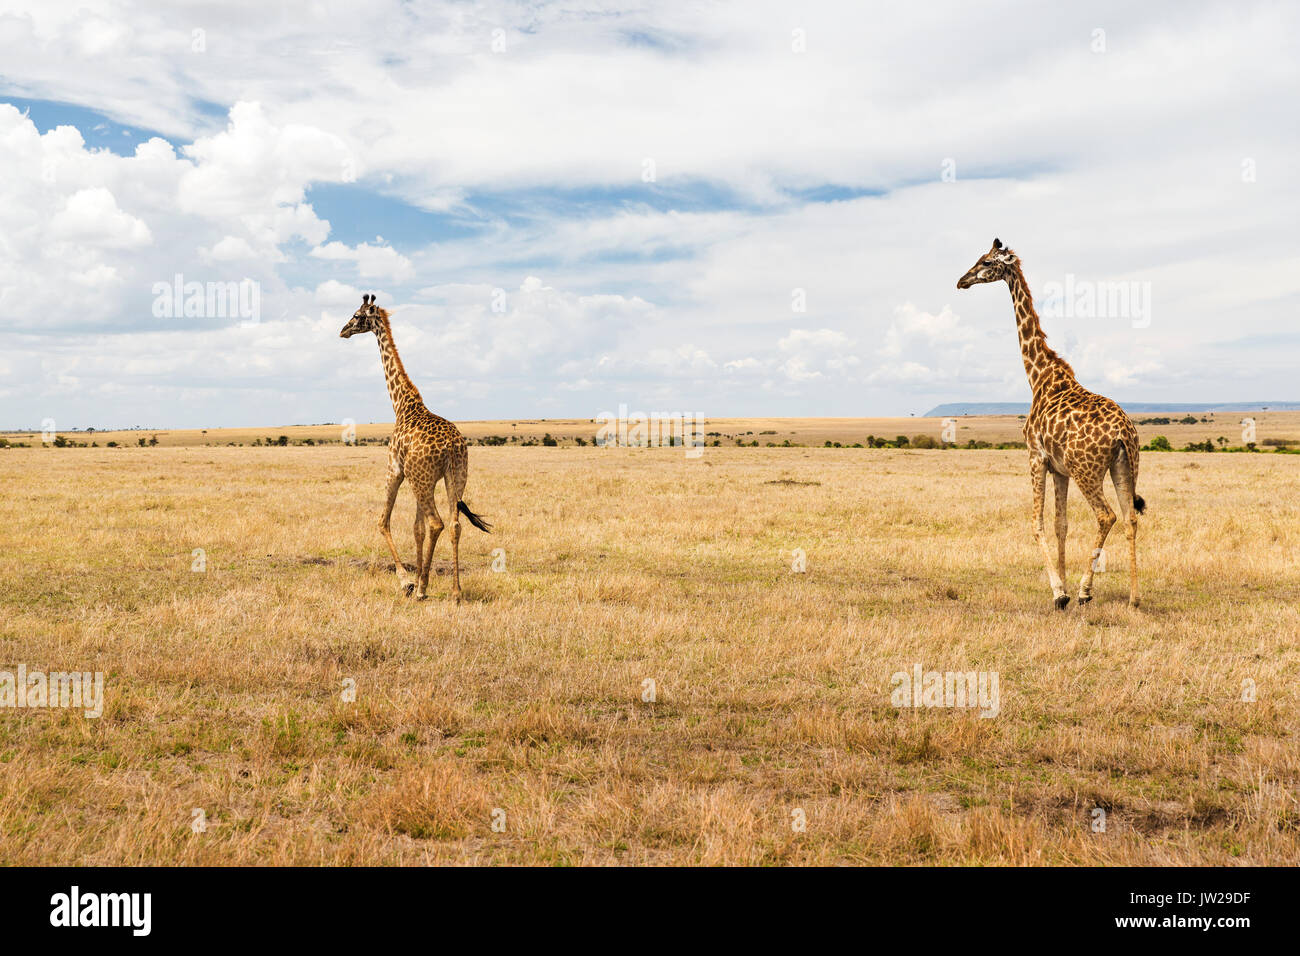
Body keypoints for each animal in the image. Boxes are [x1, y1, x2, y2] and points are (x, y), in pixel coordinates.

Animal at [339, 293, 491, 603]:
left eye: (357, 315)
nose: (343, 330)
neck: (402, 404)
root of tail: (450, 446)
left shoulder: (396, 470)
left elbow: (385, 522)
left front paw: (408, 581)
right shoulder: (422, 479)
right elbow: (416, 529)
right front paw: (420, 578)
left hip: (421, 480)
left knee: (435, 523)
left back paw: (420, 589)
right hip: (455, 477)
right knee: (454, 524)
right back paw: (456, 591)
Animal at [957, 240, 1145, 610]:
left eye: (985, 261)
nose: (962, 281)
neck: (1039, 376)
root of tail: (1122, 432)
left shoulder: (1035, 456)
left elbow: (1037, 523)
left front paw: (1061, 592)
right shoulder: (1059, 469)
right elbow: (1061, 524)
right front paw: (1064, 585)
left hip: (1087, 470)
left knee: (1107, 516)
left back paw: (1087, 591)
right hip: (1124, 466)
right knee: (1130, 518)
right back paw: (1133, 598)